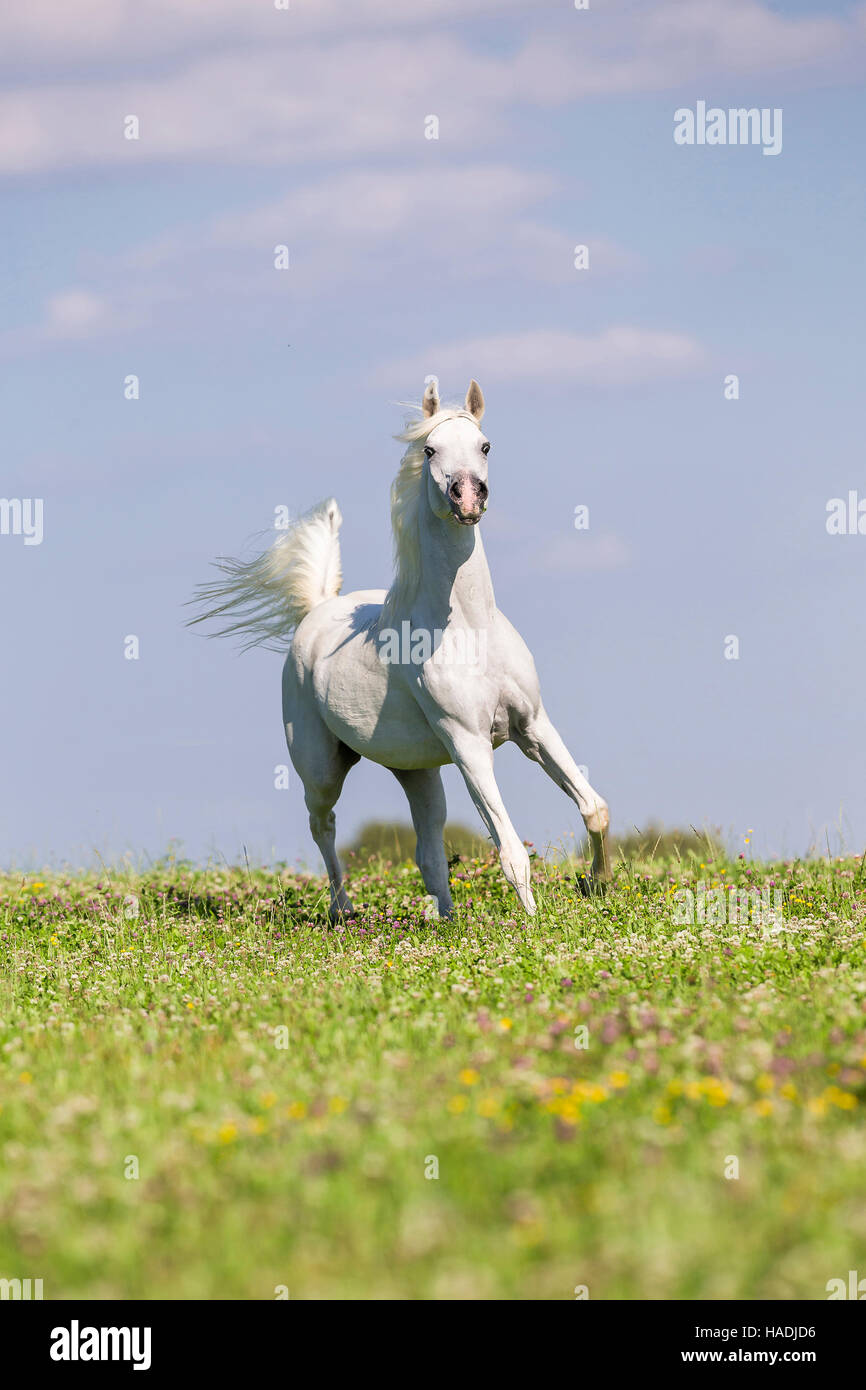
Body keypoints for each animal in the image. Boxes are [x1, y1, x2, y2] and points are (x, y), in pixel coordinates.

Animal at [190, 378, 611, 919]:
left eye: (485, 446)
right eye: (430, 449)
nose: (468, 497)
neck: (468, 630)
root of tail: (316, 612)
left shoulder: (533, 726)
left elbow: (593, 808)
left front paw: (595, 885)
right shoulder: (470, 745)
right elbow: (511, 851)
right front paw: (535, 925)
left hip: (417, 772)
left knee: (427, 850)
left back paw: (446, 921)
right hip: (321, 768)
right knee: (323, 826)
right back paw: (343, 911)